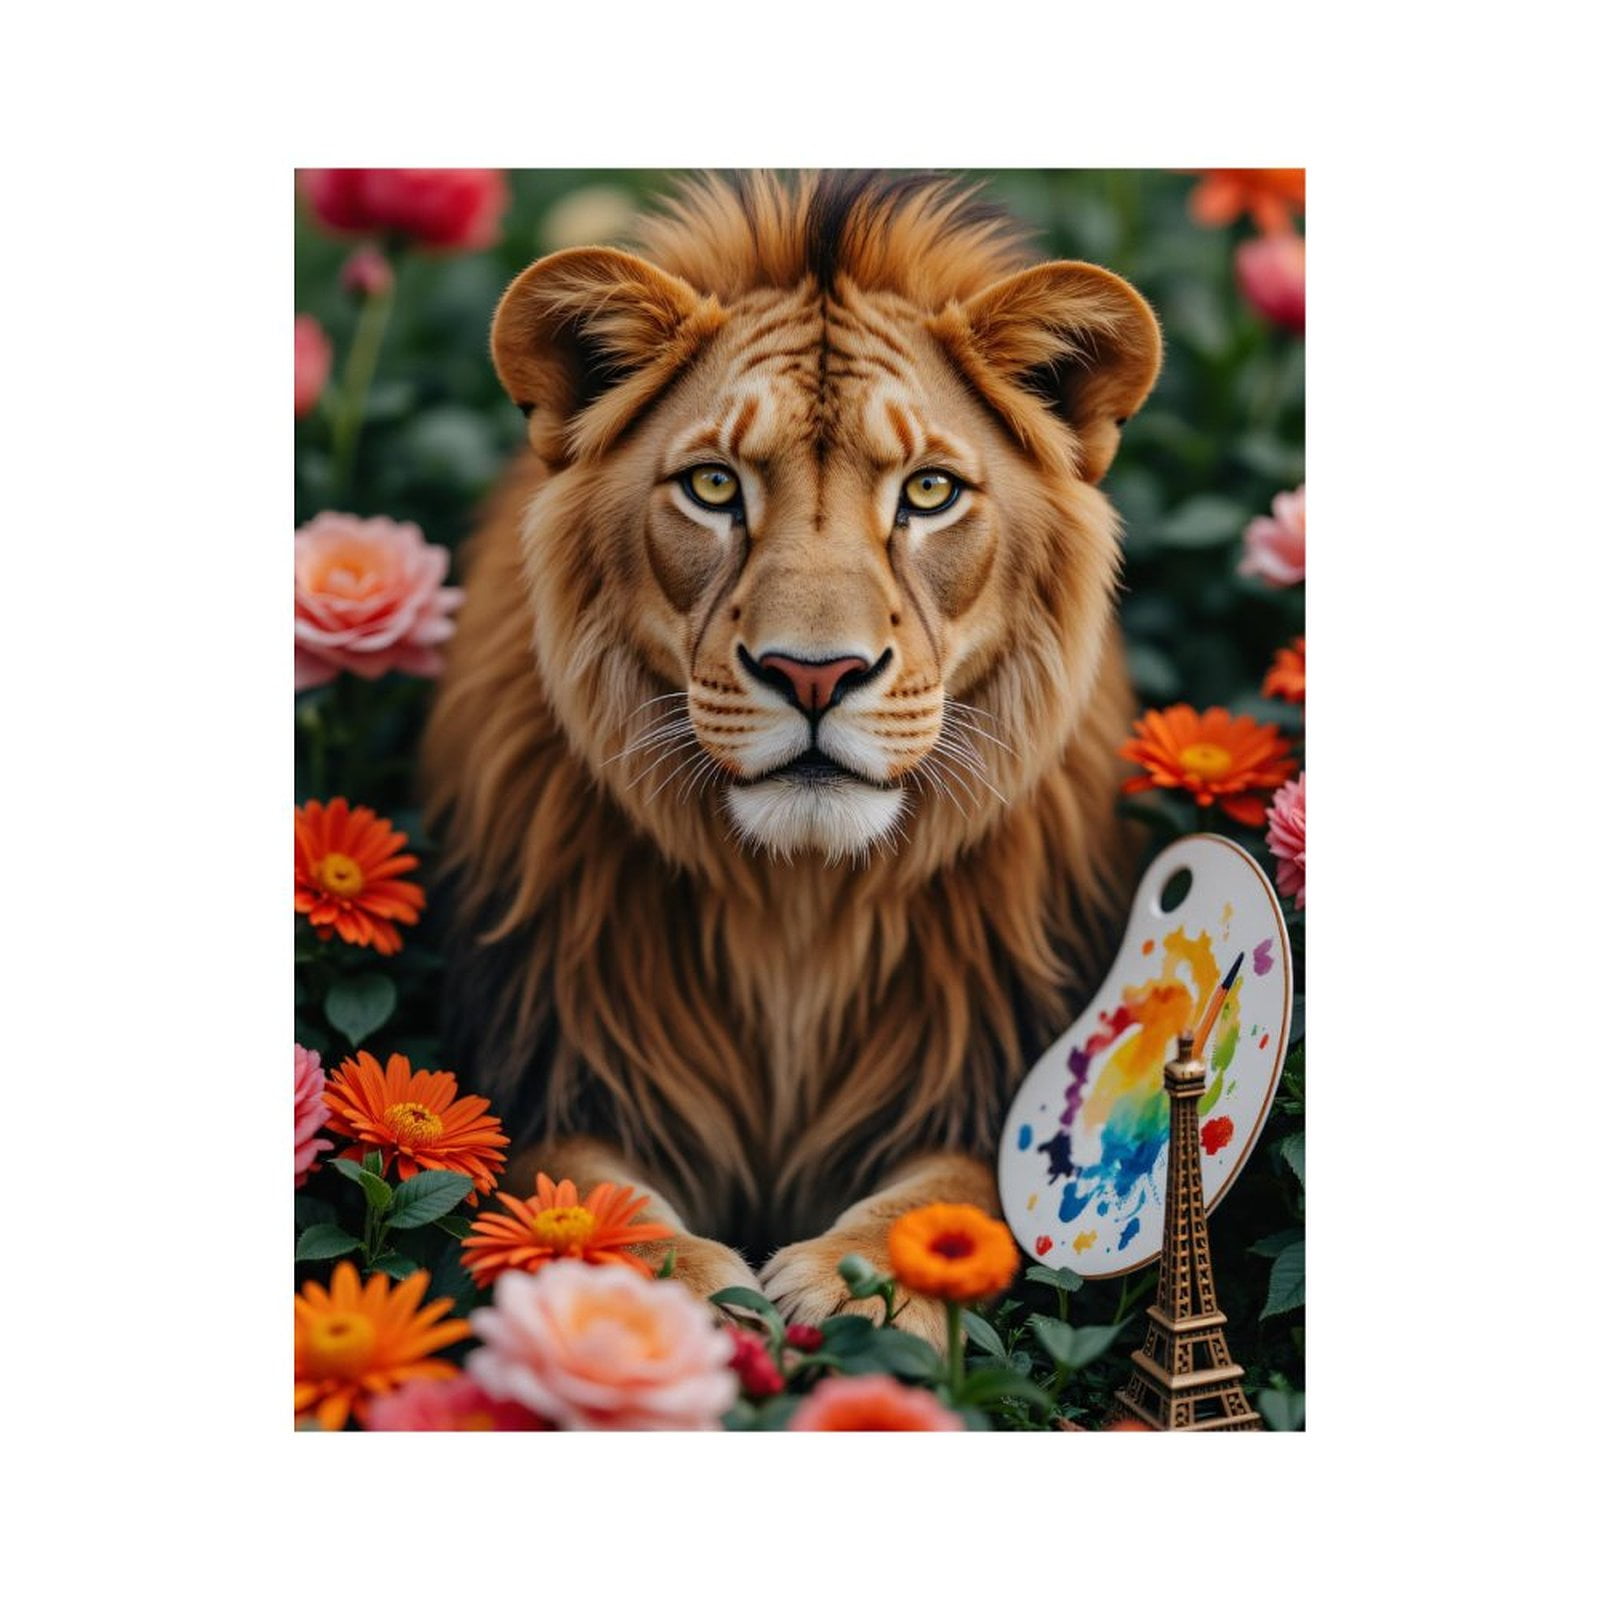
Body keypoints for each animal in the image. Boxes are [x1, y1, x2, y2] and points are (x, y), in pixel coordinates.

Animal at [421, 171, 1162, 1345]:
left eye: (929, 493)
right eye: (715, 487)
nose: (815, 675)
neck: (798, 905)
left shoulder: (988, 1074)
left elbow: (964, 1192)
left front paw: (866, 1285)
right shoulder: (550, 1070)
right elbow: (585, 1200)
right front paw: (675, 1297)